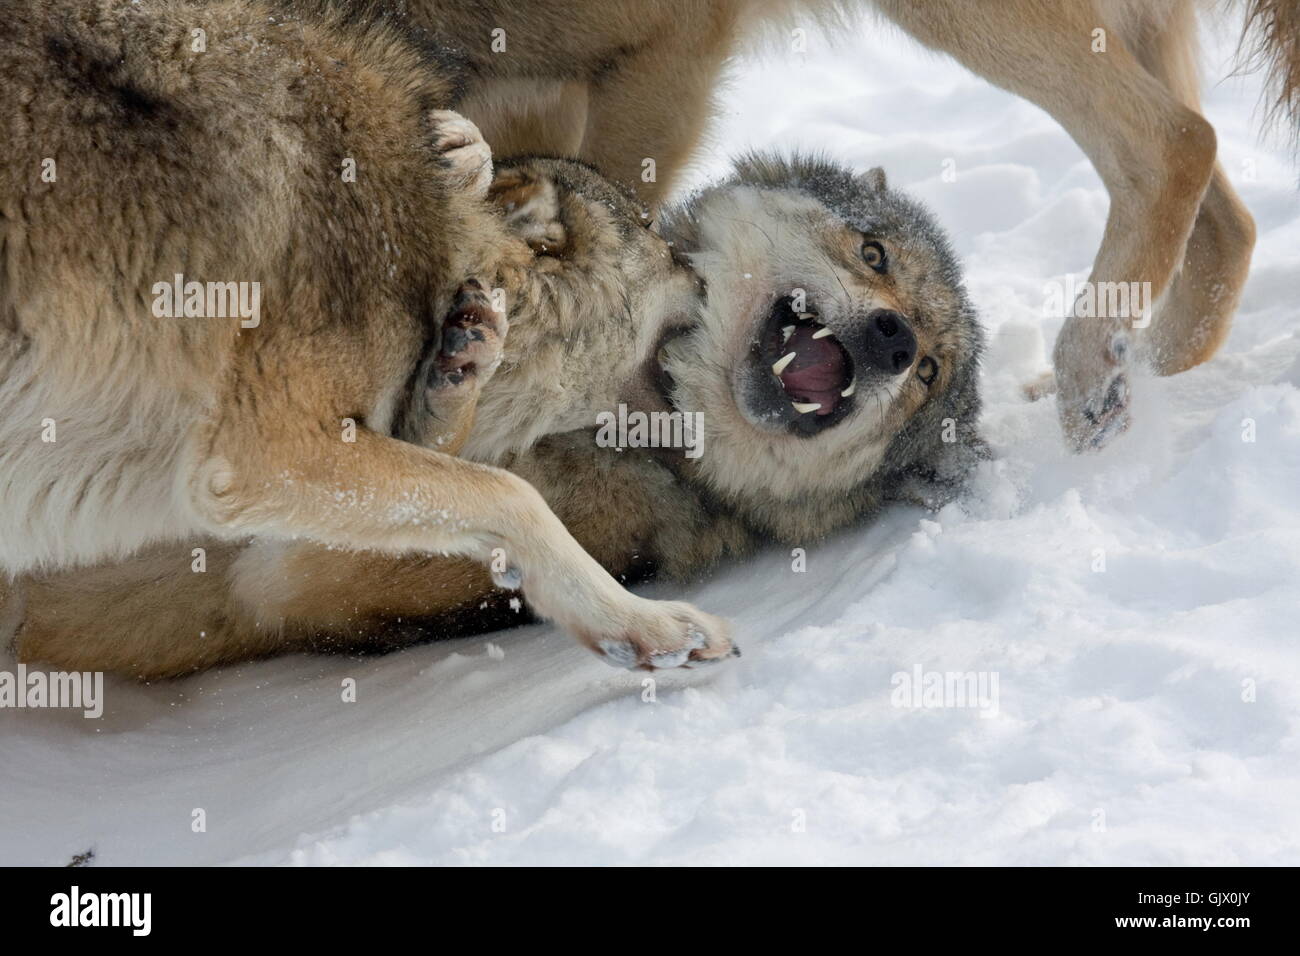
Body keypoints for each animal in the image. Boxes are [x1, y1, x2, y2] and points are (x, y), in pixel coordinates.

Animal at [0, 0, 737, 671]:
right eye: (653, 230)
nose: (710, 271)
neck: (426, 247)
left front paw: (455, 374)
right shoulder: (258, 456)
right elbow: (515, 496)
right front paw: (649, 627)